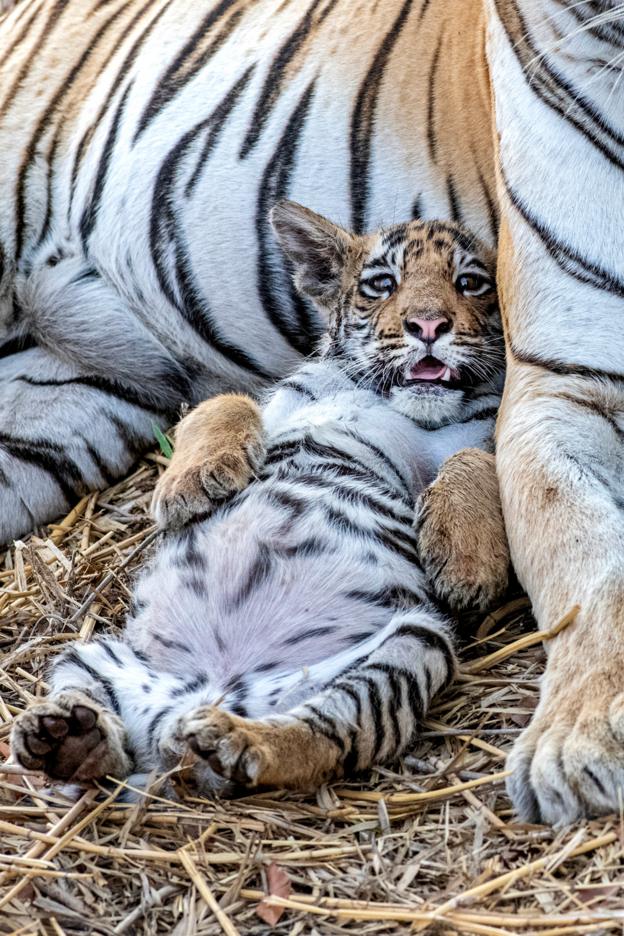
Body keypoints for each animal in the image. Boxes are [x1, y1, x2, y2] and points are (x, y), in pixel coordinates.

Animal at [9, 204, 508, 792]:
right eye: (382, 284)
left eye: (471, 283)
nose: (428, 326)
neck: (385, 398)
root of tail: (205, 694)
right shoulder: (278, 404)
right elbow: (224, 401)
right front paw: (189, 487)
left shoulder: (478, 434)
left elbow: (477, 460)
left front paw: (466, 567)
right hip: (89, 657)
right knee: (104, 732)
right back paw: (67, 735)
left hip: (410, 644)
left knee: (321, 734)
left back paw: (237, 741)